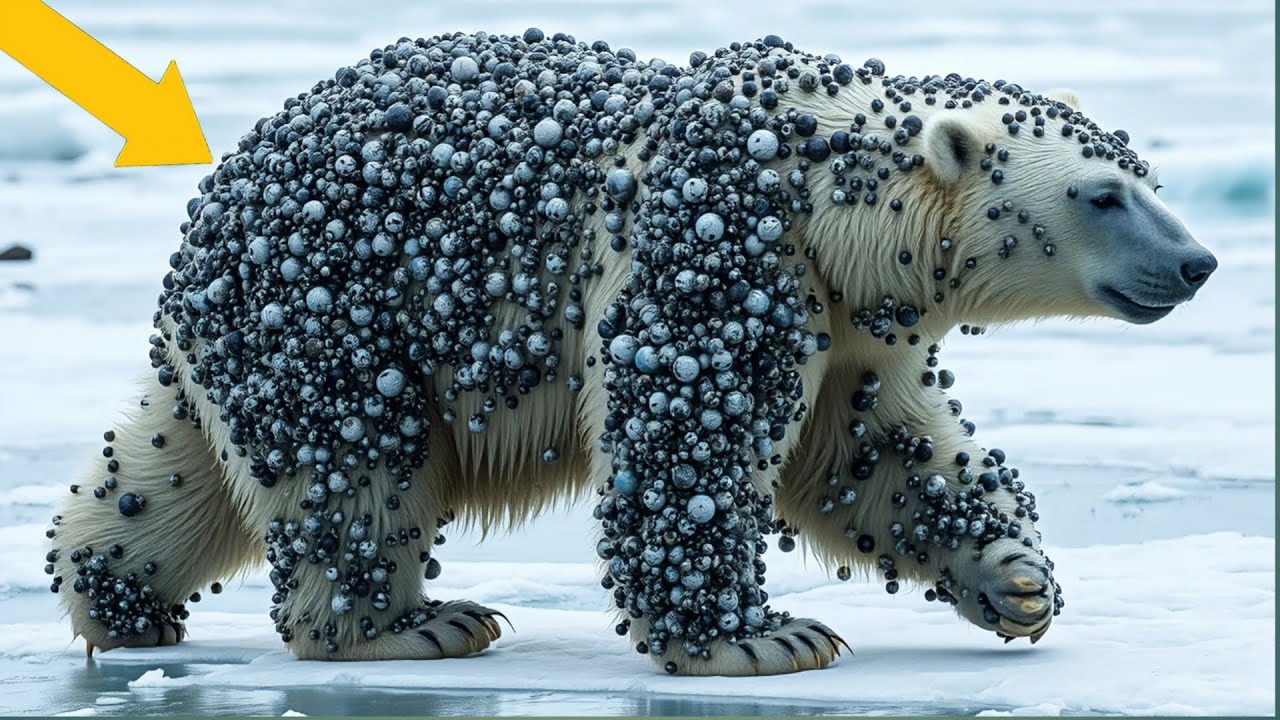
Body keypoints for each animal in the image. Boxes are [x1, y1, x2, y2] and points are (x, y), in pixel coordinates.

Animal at [43, 29, 1218, 677]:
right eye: (1100, 194)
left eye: (1145, 173)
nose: (1199, 260)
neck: (816, 170)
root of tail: (219, 194)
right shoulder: (724, 242)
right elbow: (690, 437)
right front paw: (762, 640)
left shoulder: (847, 316)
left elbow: (870, 450)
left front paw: (1016, 580)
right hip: (340, 306)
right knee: (355, 461)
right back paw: (414, 623)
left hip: (244, 330)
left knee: (171, 469)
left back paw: (119, 596)